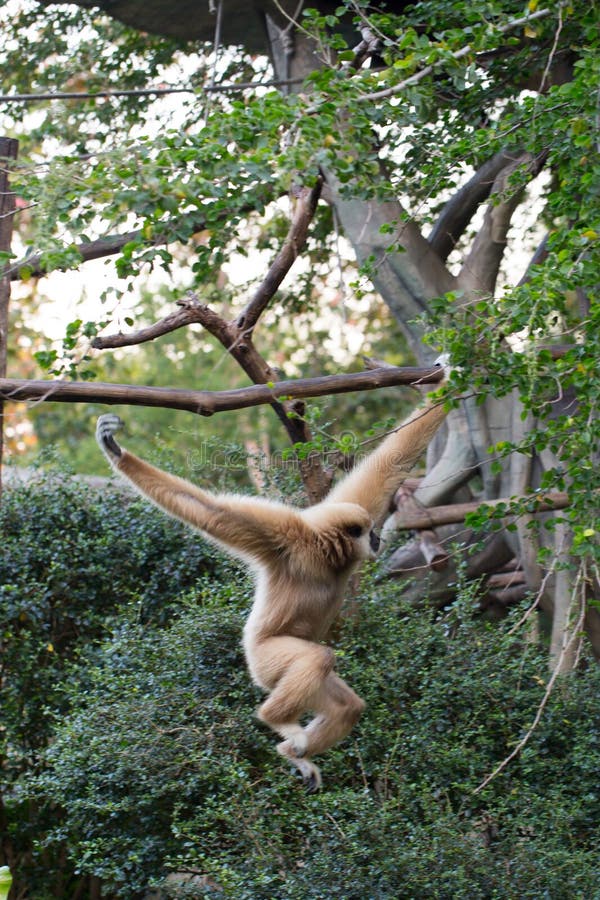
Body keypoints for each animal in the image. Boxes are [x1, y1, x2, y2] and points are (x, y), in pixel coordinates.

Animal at [96, 365, 450, 791]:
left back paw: (291, 751)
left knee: (347, 705)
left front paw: (447, 375)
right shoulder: (284, 535)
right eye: (369, 532)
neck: (325, 553)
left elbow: (391, 463)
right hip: (266, 662)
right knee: (316, 657)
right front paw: (114, 450)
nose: (378, 539)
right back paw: (277, 721)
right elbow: (213, 512)